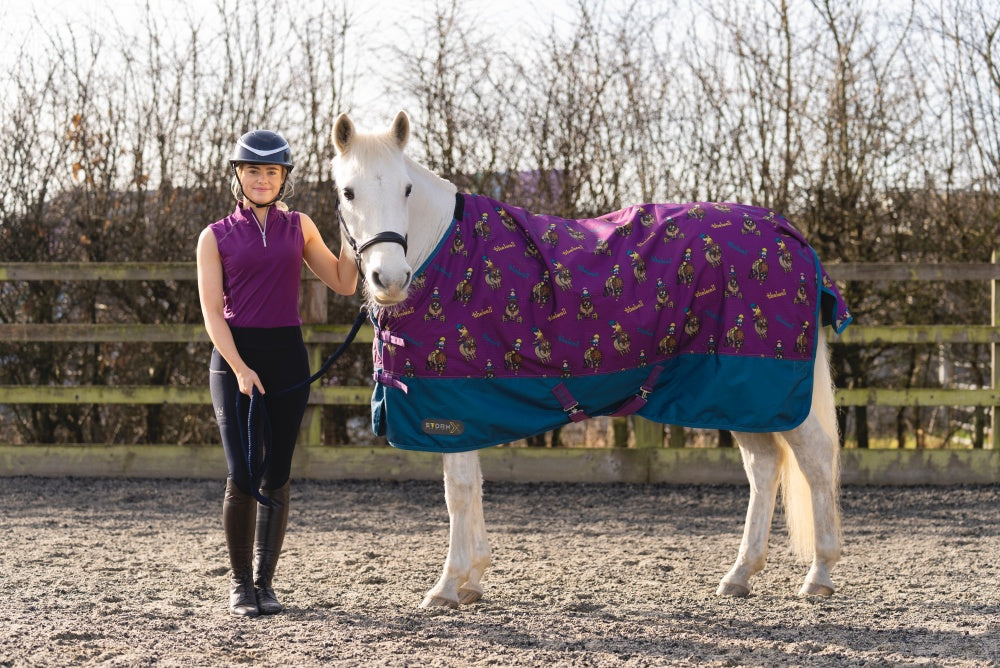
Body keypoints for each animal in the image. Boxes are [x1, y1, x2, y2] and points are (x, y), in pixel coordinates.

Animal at [331, 110, 851, 609]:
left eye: (406, 188)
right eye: (348, 191)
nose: (390, 278)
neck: (446, 255)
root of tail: (790, 234)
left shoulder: (450, 409)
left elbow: (457, 493)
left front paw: (447, 586)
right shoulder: (468, 406)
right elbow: (473, 487)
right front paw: (473, 579)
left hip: (772, 391)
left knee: (816, 460)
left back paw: (820, 575)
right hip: (740, 394)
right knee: (764, 469)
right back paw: (740, 575)